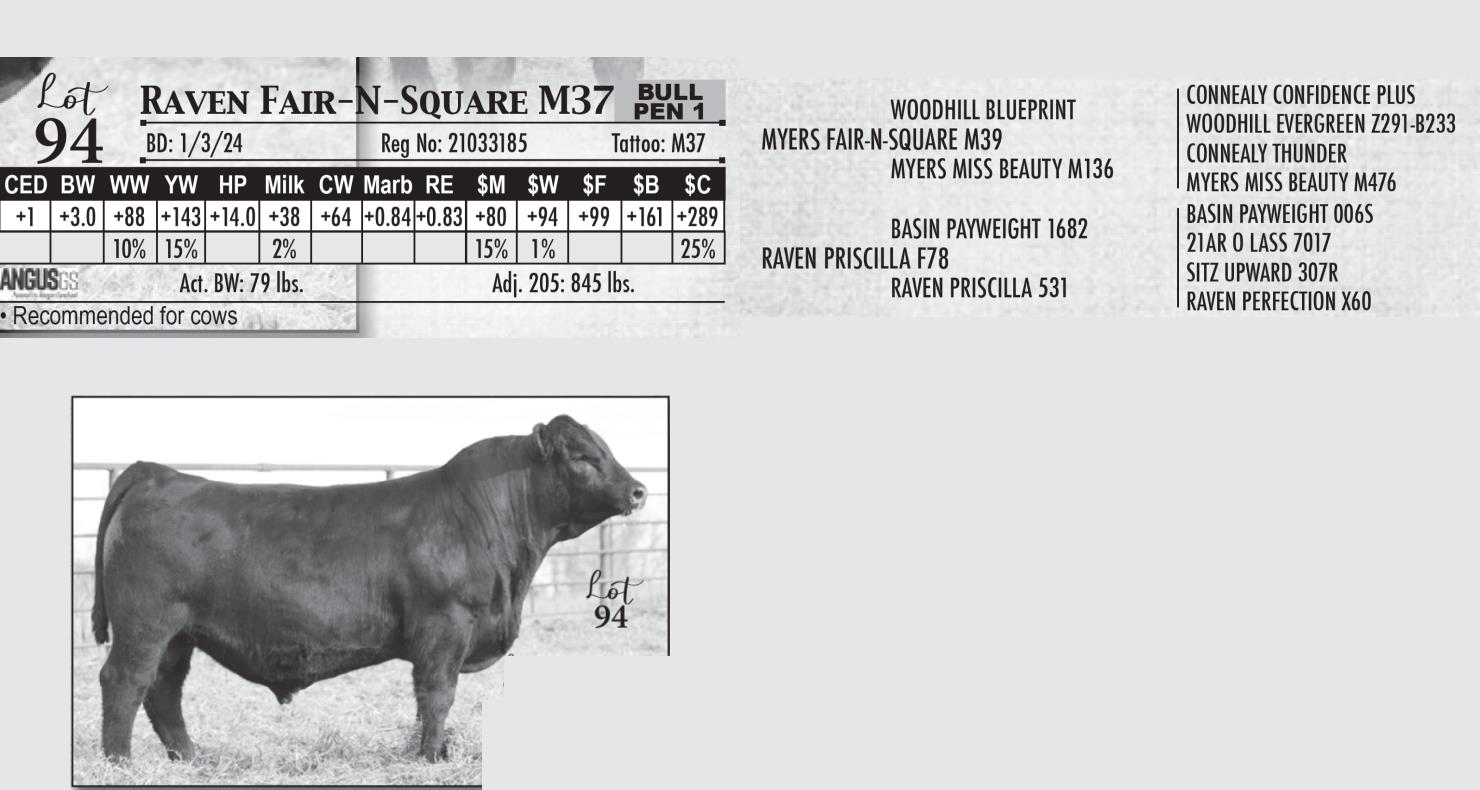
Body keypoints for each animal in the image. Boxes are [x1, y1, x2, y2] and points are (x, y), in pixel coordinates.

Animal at [91, 415, 647, 762]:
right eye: (582, 456)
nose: (639, 490)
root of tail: (157, 473)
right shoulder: (445, 626)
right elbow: (438, 695)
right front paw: (432, 758)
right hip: (146, 624)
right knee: (125, 681)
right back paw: (120, 762)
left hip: (177, 635)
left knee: (163, 690)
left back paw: (188, 758)